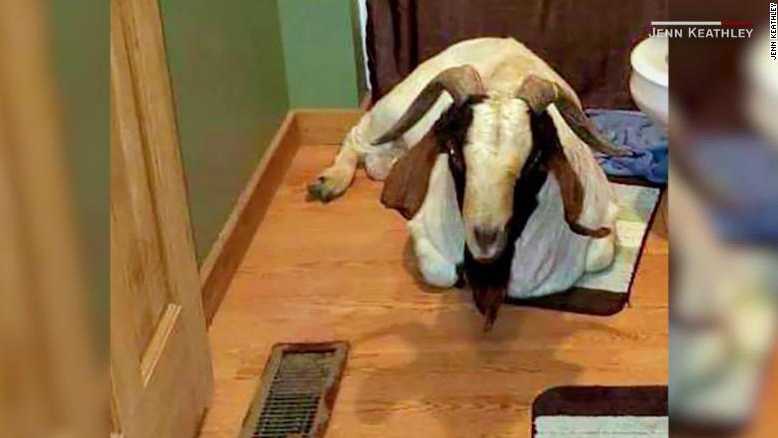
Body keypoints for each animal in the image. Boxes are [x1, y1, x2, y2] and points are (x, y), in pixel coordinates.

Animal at [308, 38, 624, 329]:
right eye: (453, 152)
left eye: (535, 158)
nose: (485, 237)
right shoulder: (422, 229)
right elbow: (440, 272)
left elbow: (601, 256)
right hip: (389, 114)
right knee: (357, 135)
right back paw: (329, 182)